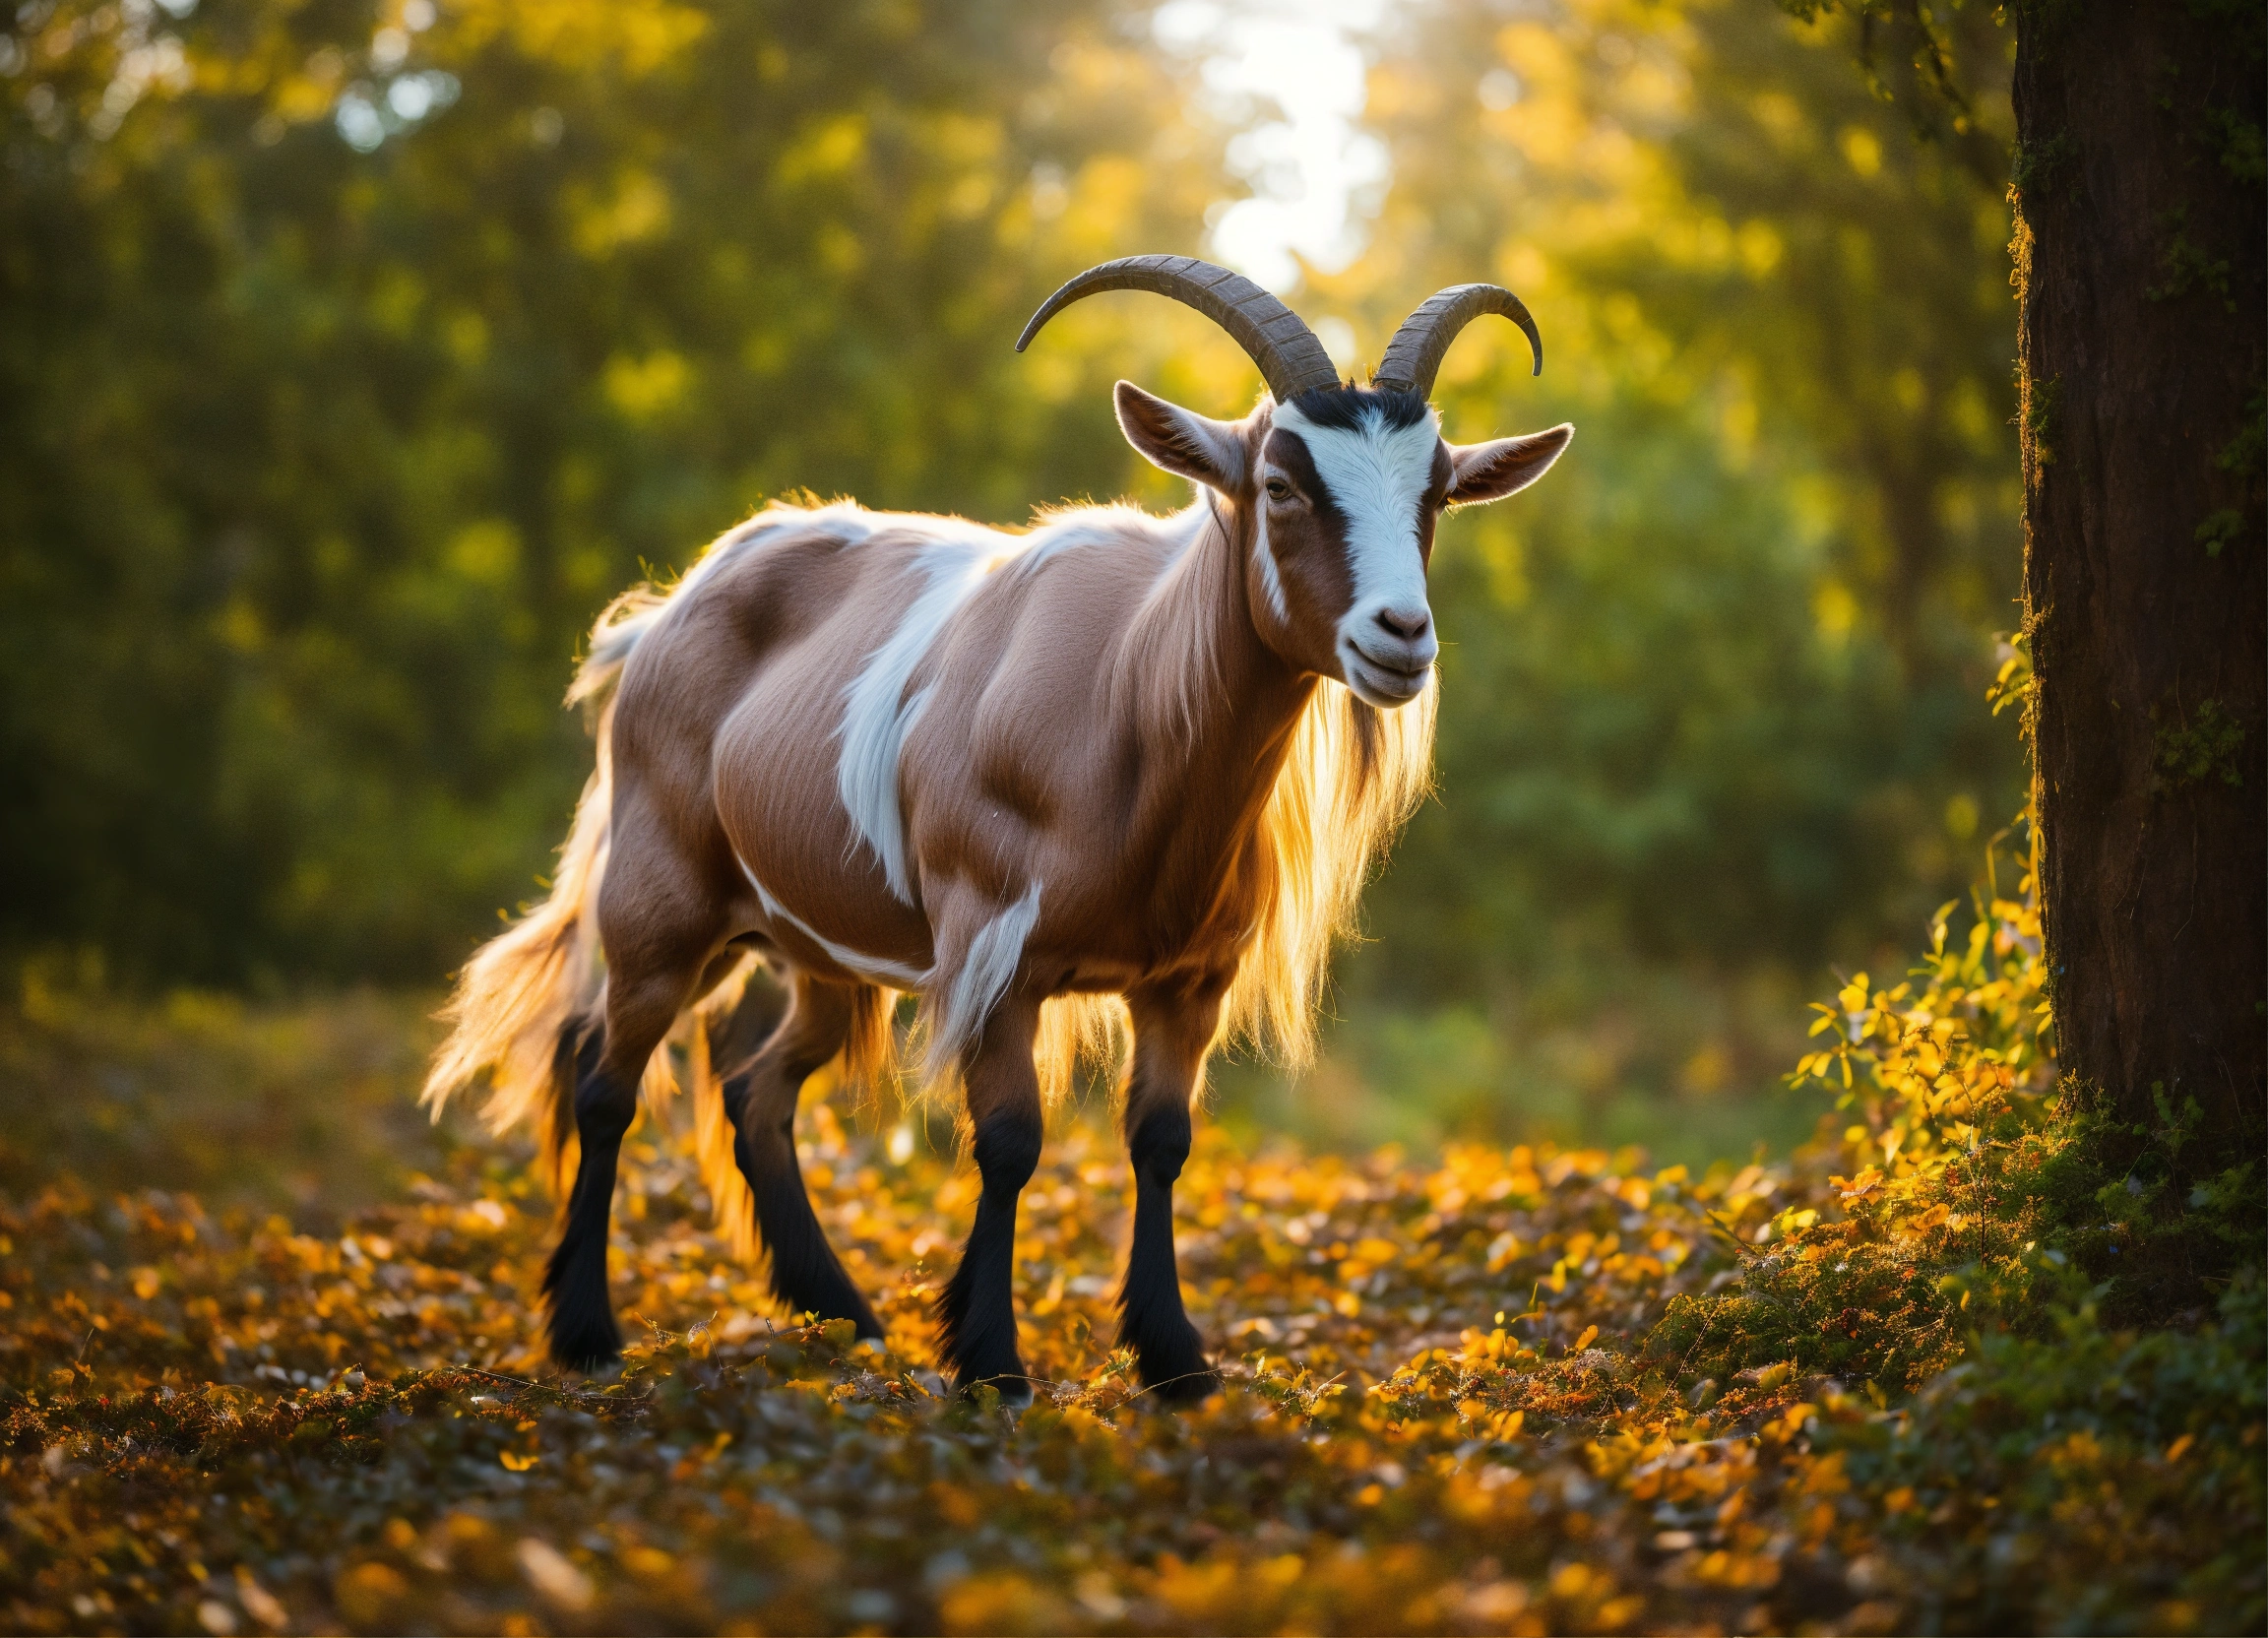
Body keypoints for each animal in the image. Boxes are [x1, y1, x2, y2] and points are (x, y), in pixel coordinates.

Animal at [423, 255, 1572, 1402]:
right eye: (1282, 485)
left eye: (1435, 493)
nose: (1400, 635)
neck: (1127, 699)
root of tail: (656, 623)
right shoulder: (994, 956)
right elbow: (1012, 1140)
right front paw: (991, 1364)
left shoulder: (1186, 980)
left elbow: (1162, 1140)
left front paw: (1174, 1360)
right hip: (664, 902)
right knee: (602, 1077)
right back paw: (589, 1332)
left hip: (810, 948)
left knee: (756, 1092)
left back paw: (845, 1320)